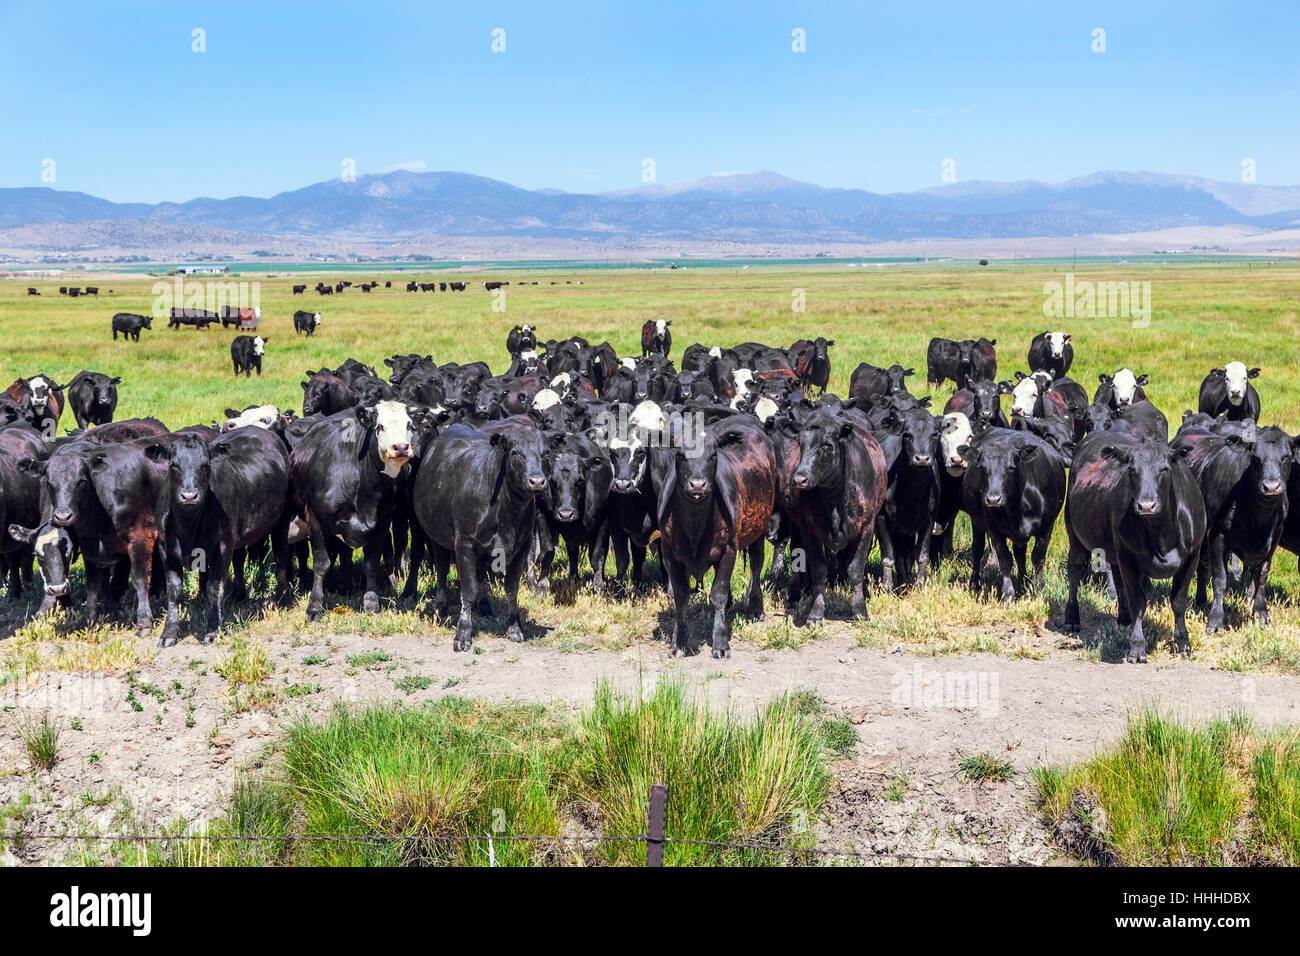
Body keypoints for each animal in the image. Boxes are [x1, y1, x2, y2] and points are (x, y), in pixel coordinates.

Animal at [413, 421, 547, 650]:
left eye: (546, 453)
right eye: (515, 453)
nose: (537, 481)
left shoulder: (522, 546)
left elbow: (511, 588)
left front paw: (514, 627)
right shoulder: (464, 544)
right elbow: (468, 589)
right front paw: (463, 634)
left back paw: (484, 607)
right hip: (437, 538)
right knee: (441, 570)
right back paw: (440, 608)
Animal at [961, 428, 1067, 600]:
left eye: (1011, 467)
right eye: (982, 467)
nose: (993, 498)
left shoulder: (1047, 527)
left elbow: (1038, 557)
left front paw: (1039, 588)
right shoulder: (994, 528)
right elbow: (1005, 558)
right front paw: (1008, 594)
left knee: (1020, 553)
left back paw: (1024, 581)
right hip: (976, 521)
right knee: (977, 549)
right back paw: (975, 585)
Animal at [1064, 432, 1206, 662]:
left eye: (1165, 469)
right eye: (1132, 470)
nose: (1146, 505)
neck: (1162, 533)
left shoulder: (1192, 556)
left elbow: (1178, 601)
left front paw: (1183, 643)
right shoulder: (1128, 557)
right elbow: (1138, 602)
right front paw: (1137, 647)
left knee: (1117, 580)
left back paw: (1123, 618)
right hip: (1075, 535)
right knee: (1075, 572)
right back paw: (1072, 619)